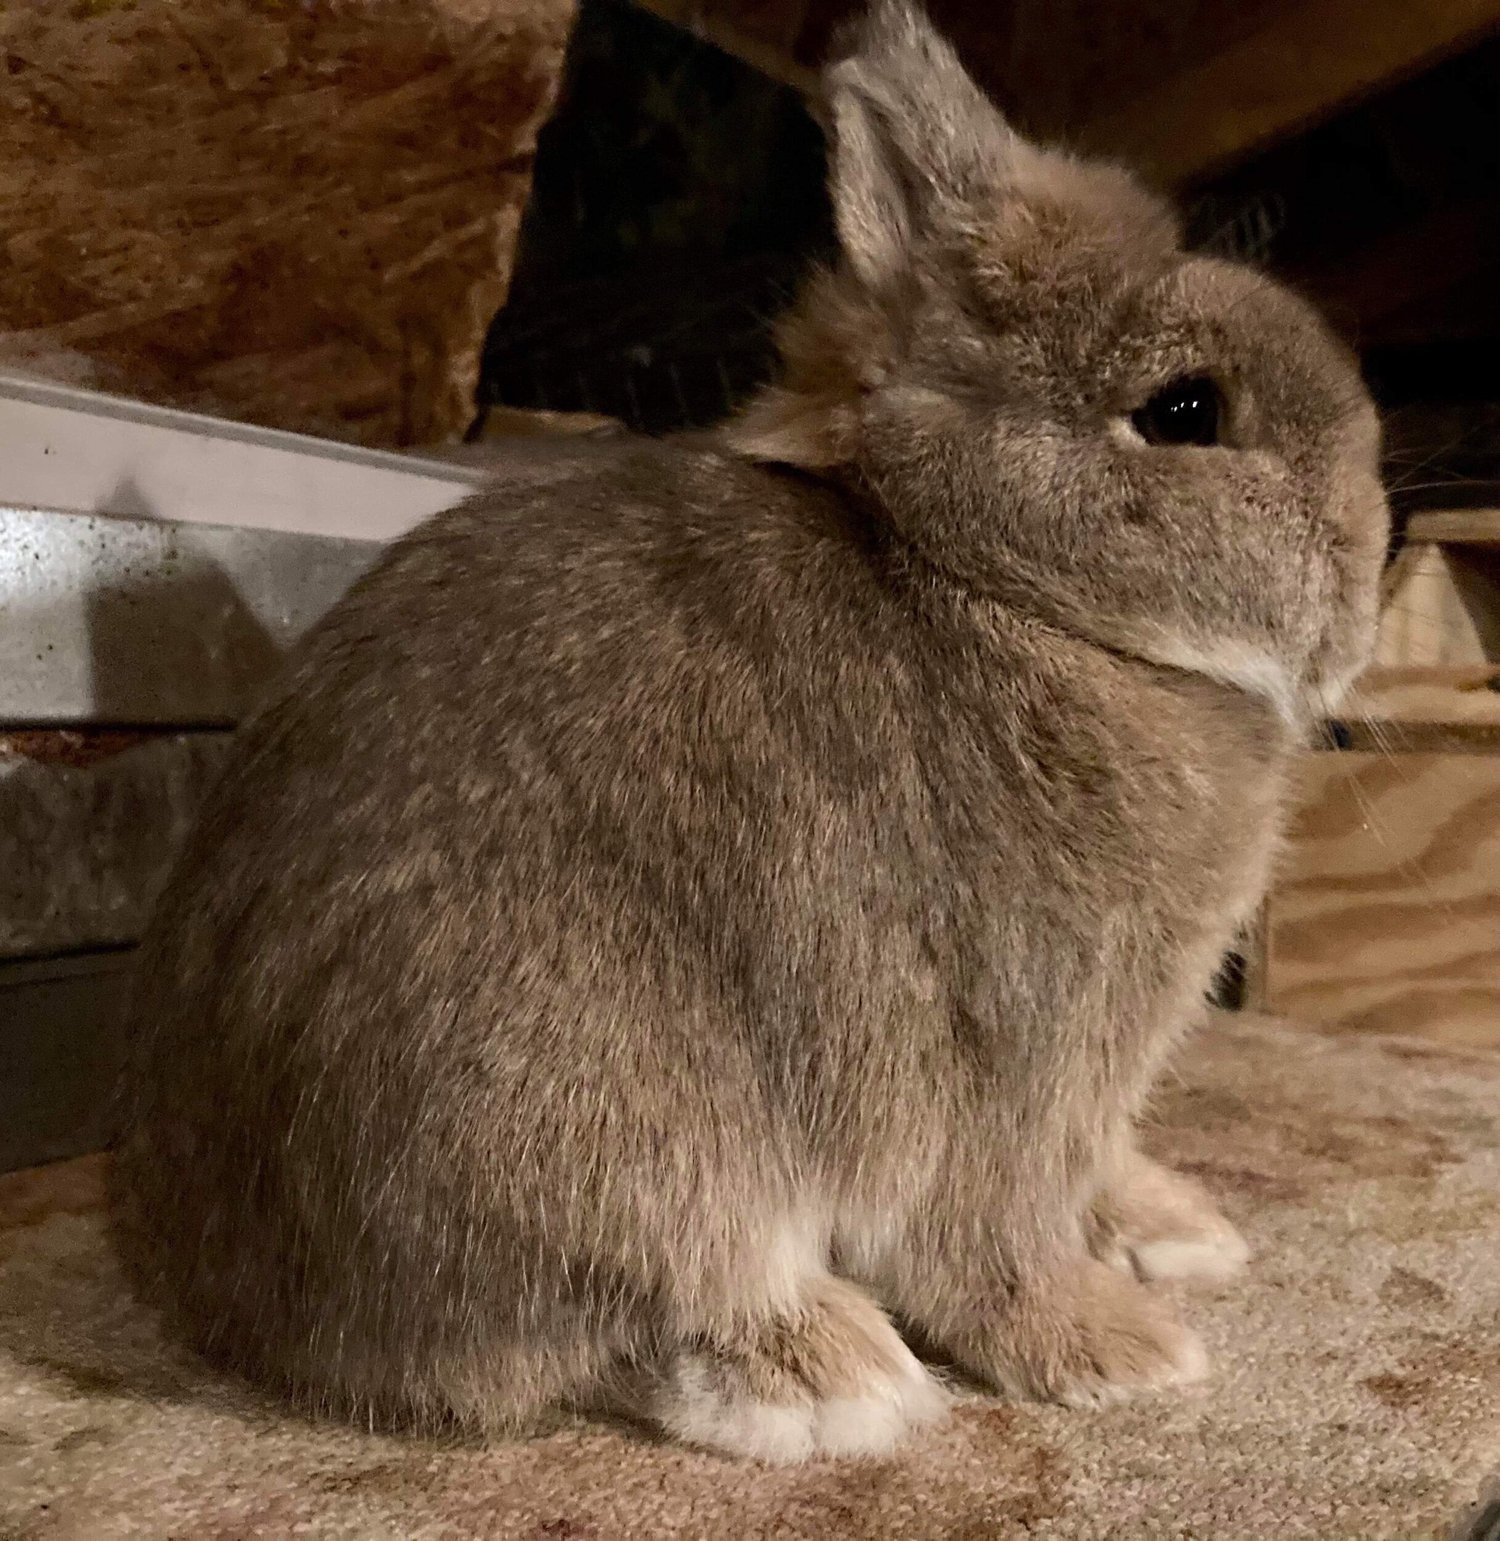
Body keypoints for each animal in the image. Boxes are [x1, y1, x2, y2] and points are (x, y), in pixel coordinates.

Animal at [113, 0, 1388, 1463]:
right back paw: (829, 1375)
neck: (1000, 587)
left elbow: (1088, 1178)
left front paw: (1175, 1233)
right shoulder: (1019, 1052)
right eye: (1187, 410)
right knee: (628, 1307)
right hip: (594, 1117)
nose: (1368, 575)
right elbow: (994, 1237)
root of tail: (232, 1301)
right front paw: (1124, 1352)